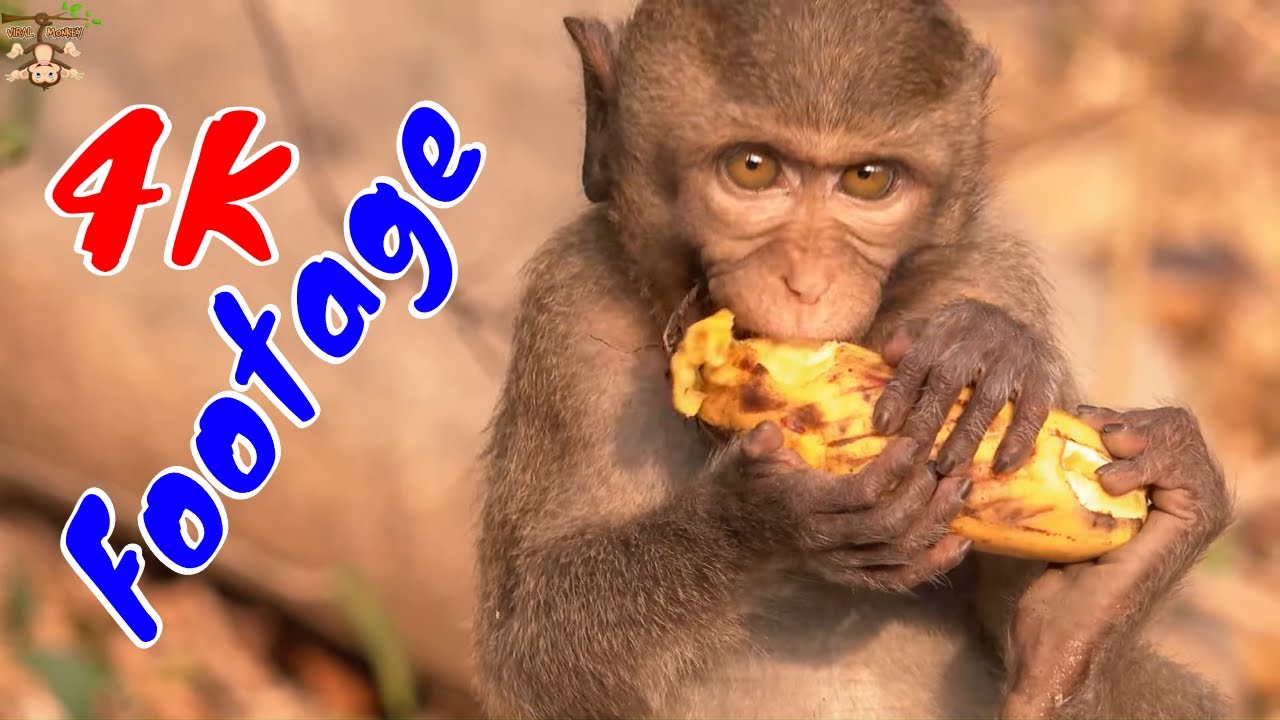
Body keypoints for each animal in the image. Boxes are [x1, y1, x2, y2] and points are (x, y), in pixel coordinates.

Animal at [473, 1, 1233, 718]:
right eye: (752, 168)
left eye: (868, 180)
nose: (808, 282)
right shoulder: (573, 311)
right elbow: (536, 641)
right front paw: (763, 514)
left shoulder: (994, 271)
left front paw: (991, 347)